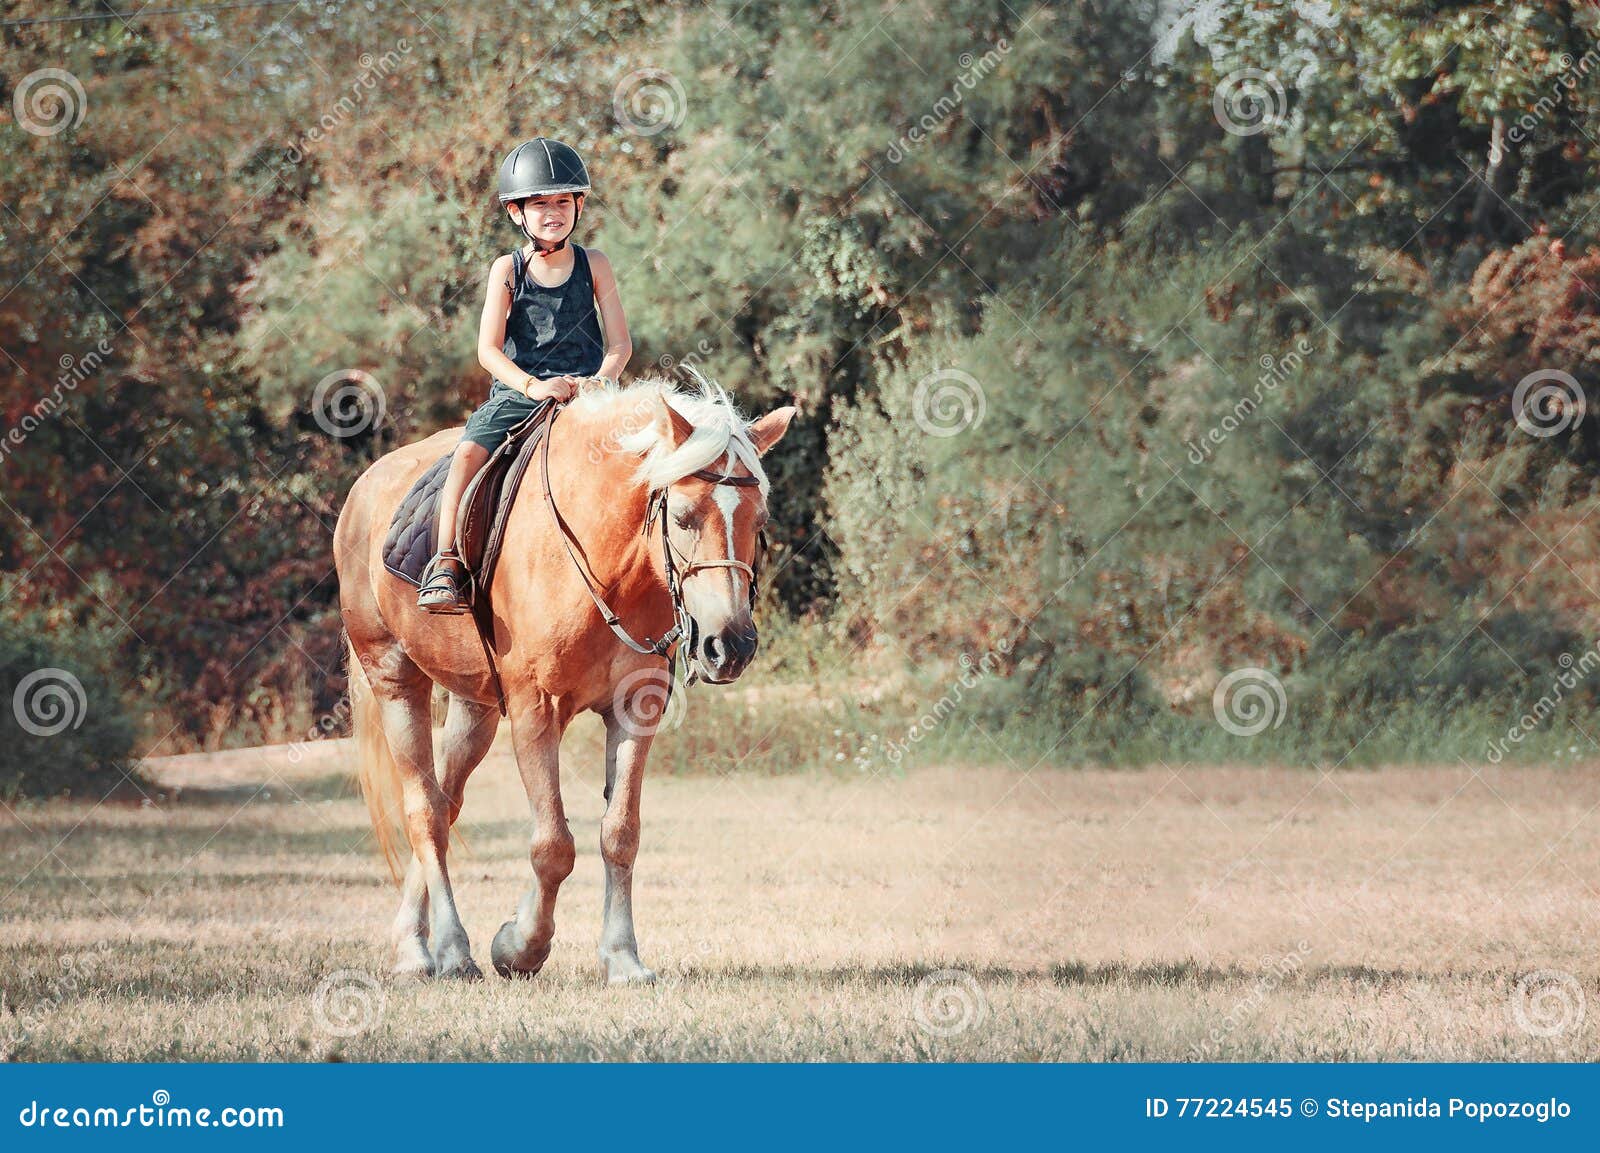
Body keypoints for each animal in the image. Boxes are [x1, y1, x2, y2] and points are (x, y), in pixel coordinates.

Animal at [333, 377, 794, 983]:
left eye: (758, 523)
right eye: (684, 517)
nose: (731, 645)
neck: (609, 564)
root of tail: (364, 490)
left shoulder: (635, 709)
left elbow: (619, 834)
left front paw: (622, 958)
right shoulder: (536, 709)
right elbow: (553, 845)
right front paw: (520, 946)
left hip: (475, 708)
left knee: (445, 802)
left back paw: (420, 940)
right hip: (395, 680)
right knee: (424, 812)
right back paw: (439, 951)